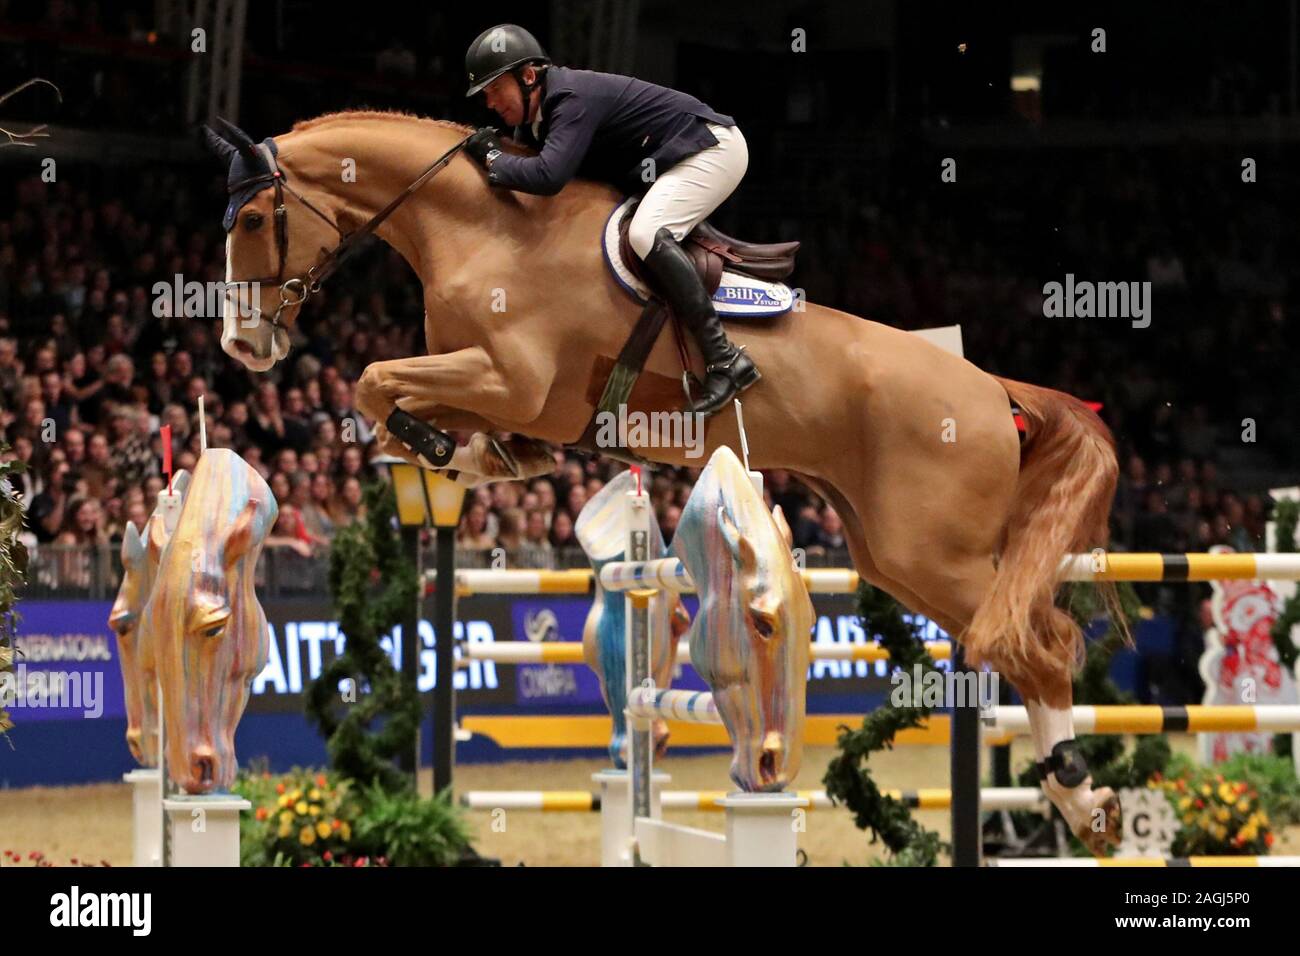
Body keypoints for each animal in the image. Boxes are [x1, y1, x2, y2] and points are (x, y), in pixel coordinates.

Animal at [208, 110, 1124, 853]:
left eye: (252, 218)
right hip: (899, 556)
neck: (481, 228)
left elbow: (373, 380)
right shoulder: (499, 390)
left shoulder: (509, 379)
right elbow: (404, 399)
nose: (242, 348)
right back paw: (1077, 797)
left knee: (1041, 647)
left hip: (934, 554)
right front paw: (472, 460)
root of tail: (995, 389)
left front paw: (436, 444)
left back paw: (1085, 802)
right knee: (1021, 641)